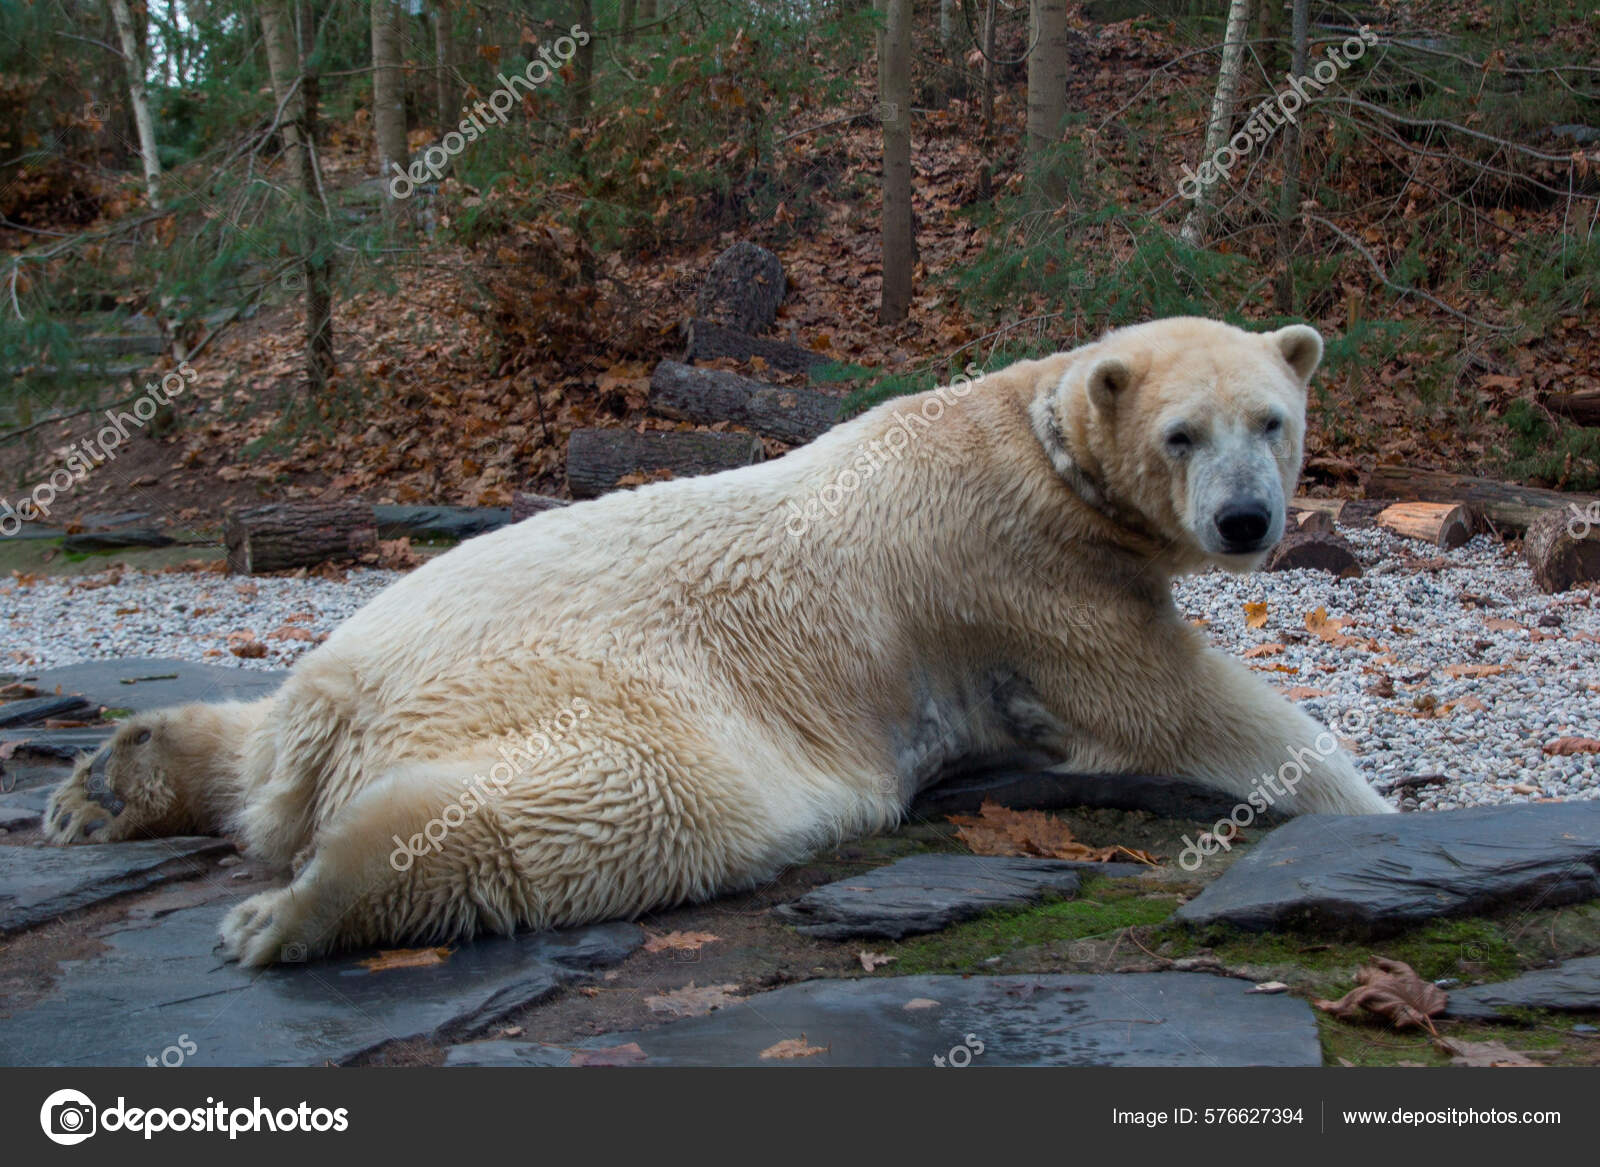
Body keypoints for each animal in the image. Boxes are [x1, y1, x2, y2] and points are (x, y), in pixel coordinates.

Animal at [44, 316, 1392, 966]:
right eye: (1181, 433)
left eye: (1272, 420)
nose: (1246, 521)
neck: (1029, 440)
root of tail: (343, 700)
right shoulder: (1026, 573)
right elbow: (1177, 704)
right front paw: (1365, 806)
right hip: (600, 684)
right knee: (632, 804)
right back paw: (308, 904)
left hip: (339, 673)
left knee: (258, 749)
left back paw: (115, 780)